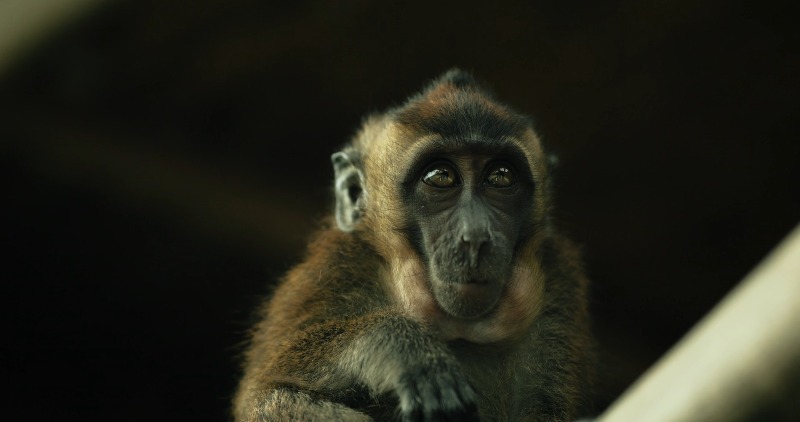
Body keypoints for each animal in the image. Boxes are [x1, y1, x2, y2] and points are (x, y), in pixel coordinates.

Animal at [234, 69, 592, 421]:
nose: (475, 236)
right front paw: (398, 346)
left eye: (501, 177)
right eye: (440, 177)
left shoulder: (558, 285)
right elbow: (260, 396)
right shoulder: (336, 270)